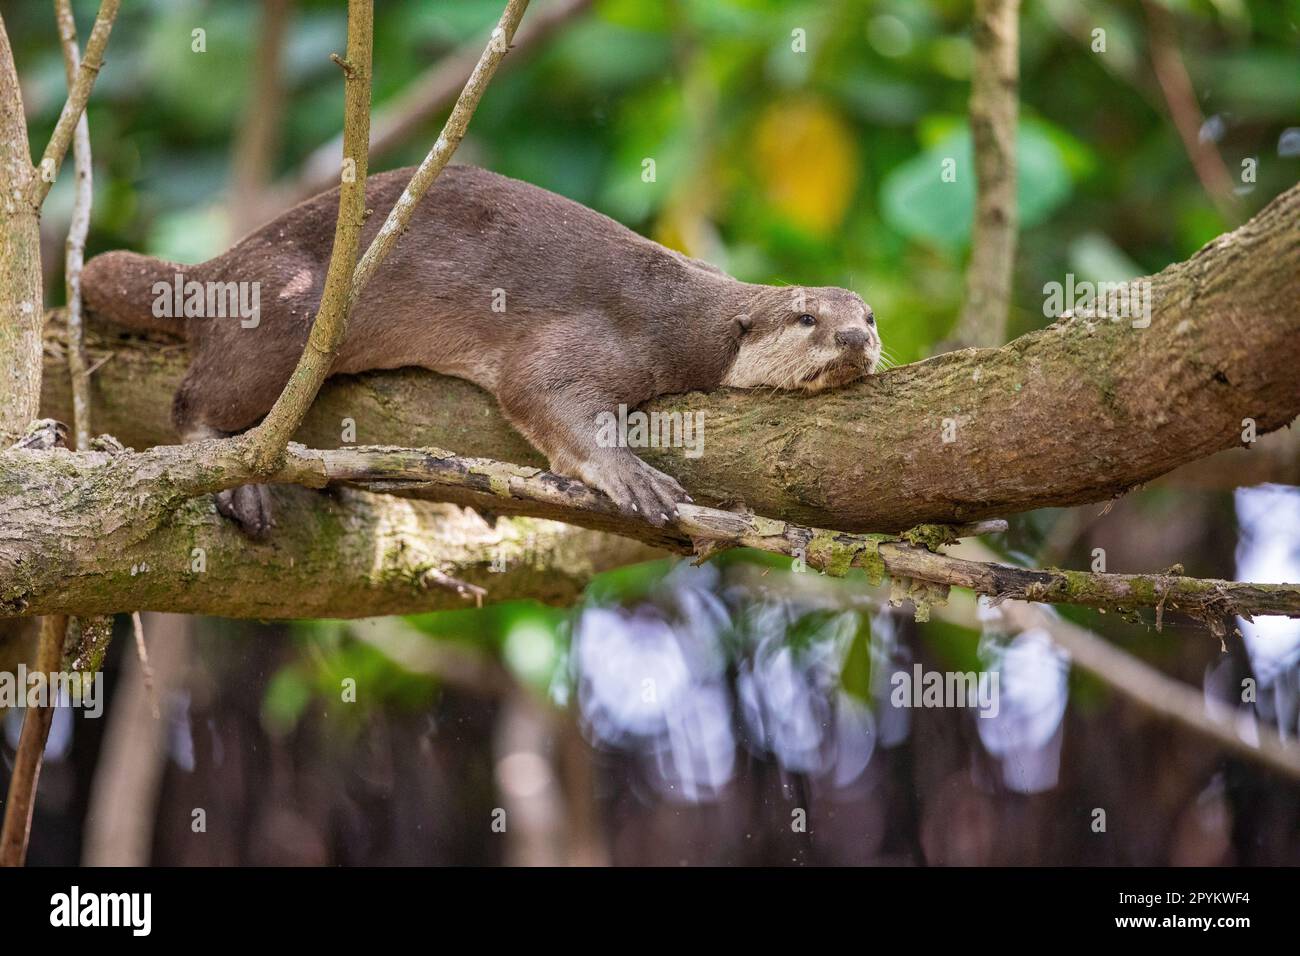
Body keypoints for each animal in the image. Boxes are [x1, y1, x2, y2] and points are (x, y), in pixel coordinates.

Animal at [82, 166, 880, 535]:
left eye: (868, 313)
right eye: (807, 317)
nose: (855, 337)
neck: (688, 313)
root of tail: (218, 266)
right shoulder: (617, 333)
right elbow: (539, 391)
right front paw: (628, 474)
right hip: (284, 315)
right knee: (193, 399)